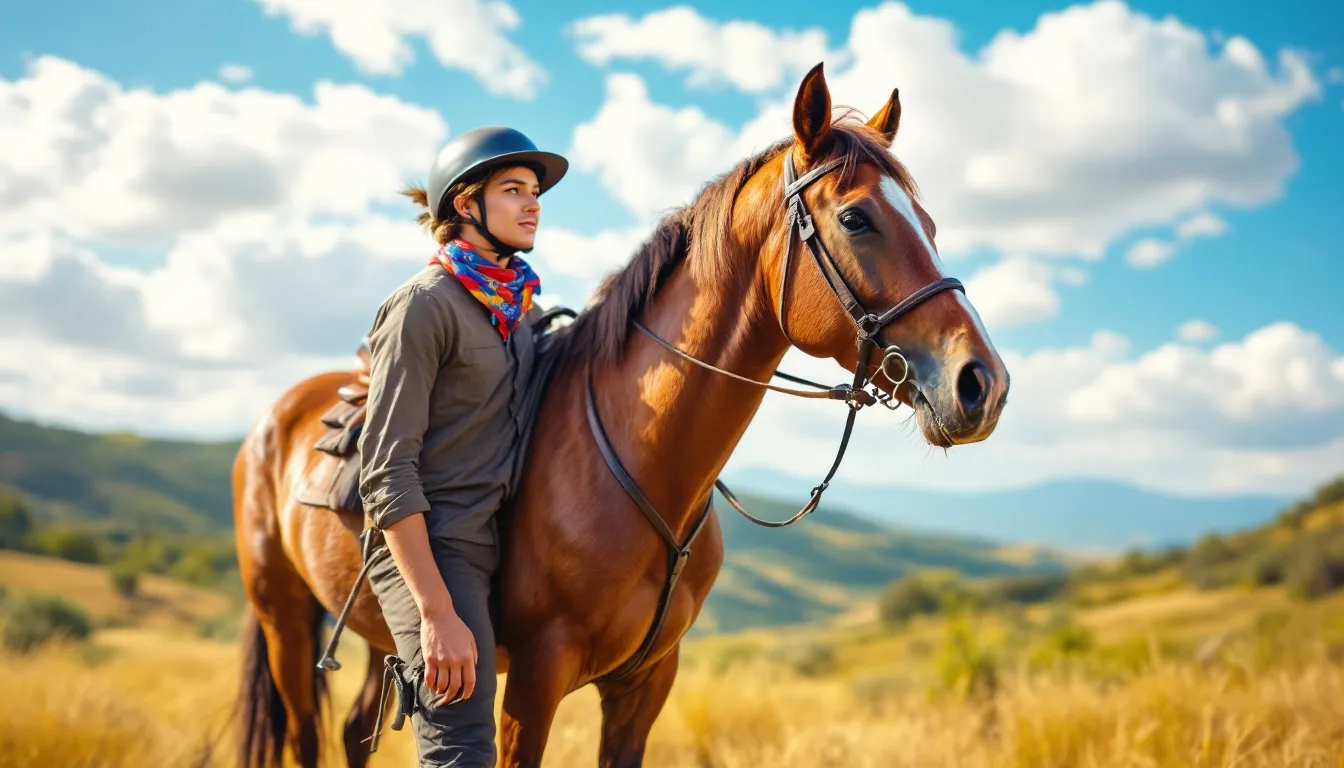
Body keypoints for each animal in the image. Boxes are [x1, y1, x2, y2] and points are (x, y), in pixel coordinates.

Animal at [230, 61, 1009, 768]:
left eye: (929, 222)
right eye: (855, 218)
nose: (983, 384)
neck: (640, 464)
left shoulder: (645, 685)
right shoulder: (533, 682)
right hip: (287, 622)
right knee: (306, 733)